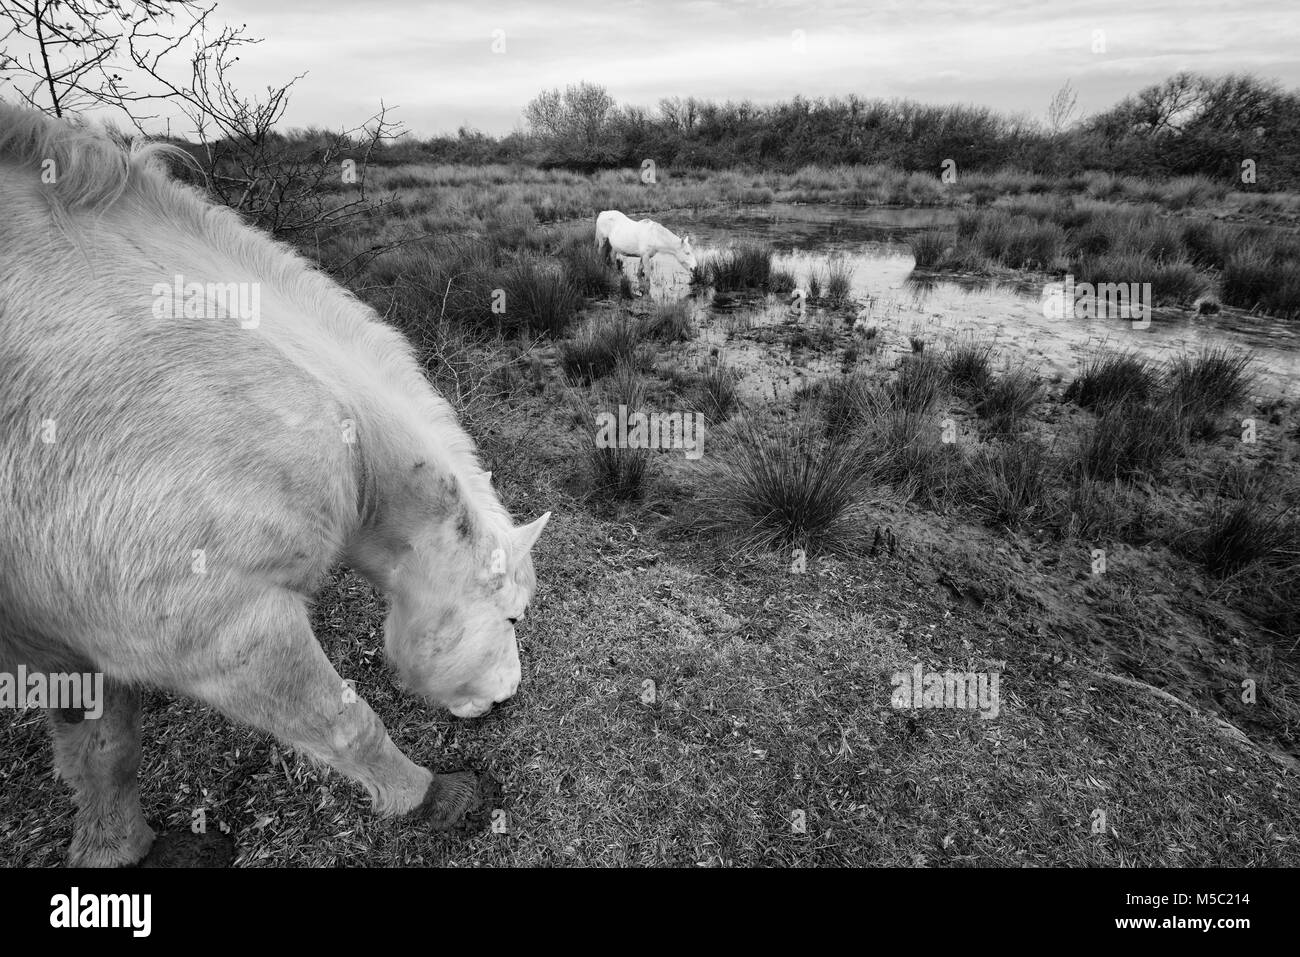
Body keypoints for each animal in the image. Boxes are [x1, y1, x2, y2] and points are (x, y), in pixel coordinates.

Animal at [0, 105, 551, 867]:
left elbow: (106, 752)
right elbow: (345, 722)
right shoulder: (230, 630)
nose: (507, 697)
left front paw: (117, 848)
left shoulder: (78, 644)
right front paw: (431, 796)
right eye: (512, 618)